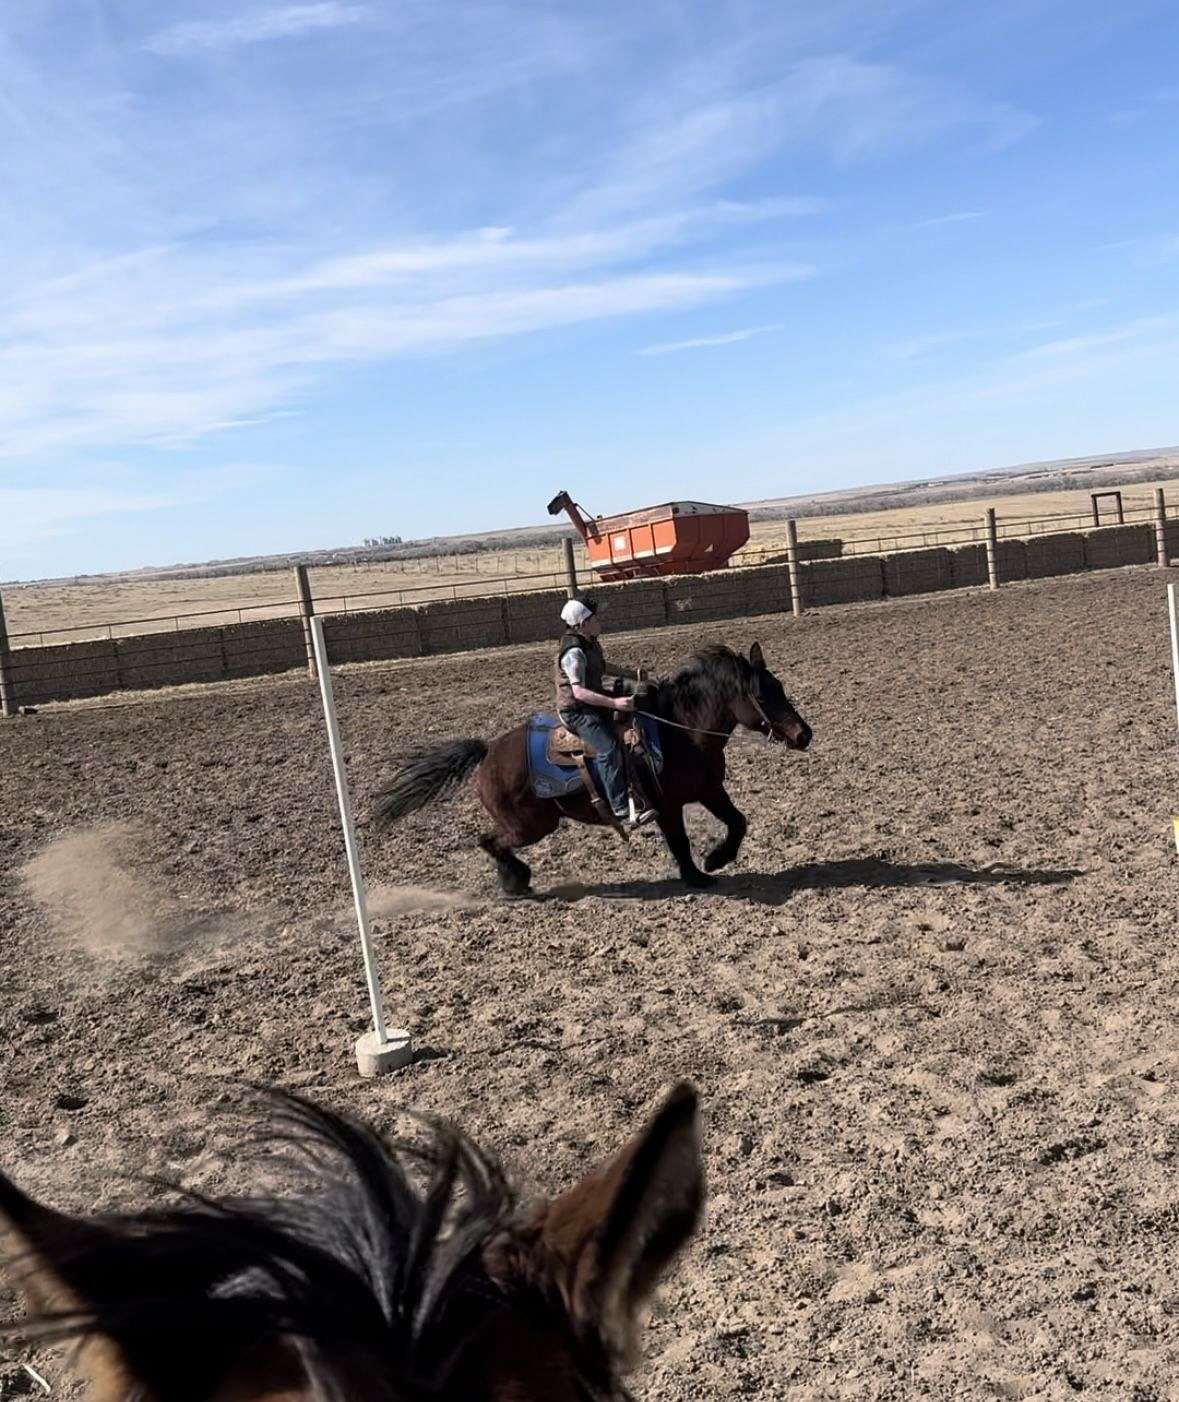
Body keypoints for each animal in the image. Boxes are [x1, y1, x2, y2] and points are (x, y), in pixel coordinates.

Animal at [373, 641, 811, 896]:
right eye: (761, 695)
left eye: (781, 688)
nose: (804, 734)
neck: (679, 730)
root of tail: (488, 753)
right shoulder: (666, 805)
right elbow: (679, 842)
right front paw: (697, 876)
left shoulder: (708, 790)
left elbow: (738, 822)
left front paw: (716, 859)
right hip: (531, 824)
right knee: (490, 840)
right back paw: (515, 881)